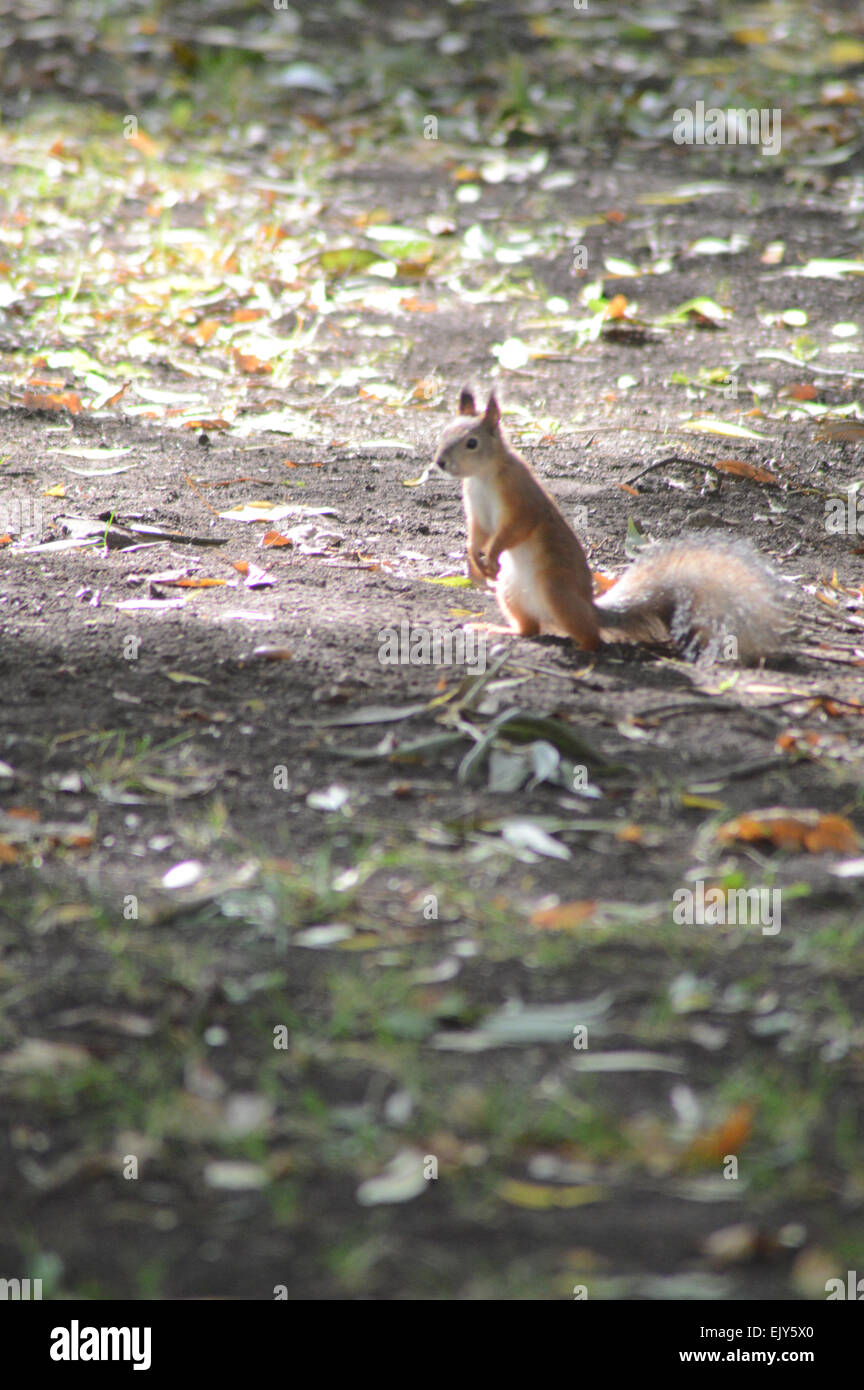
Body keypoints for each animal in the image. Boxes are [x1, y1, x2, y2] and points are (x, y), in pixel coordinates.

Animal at [432, 388, 788, 664]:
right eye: (443, 433)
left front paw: (491, 555)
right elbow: (476, 534)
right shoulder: (475, 510)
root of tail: (592, 609)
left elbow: (514, 529)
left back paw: (580, 649)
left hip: (556, 591)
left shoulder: (523, 501)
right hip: (510, 593)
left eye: (472, 443)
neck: (482, 477)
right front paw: (474, 560)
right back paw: (498, 629)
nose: (440, 462)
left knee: (591, 635)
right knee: (529, 629)